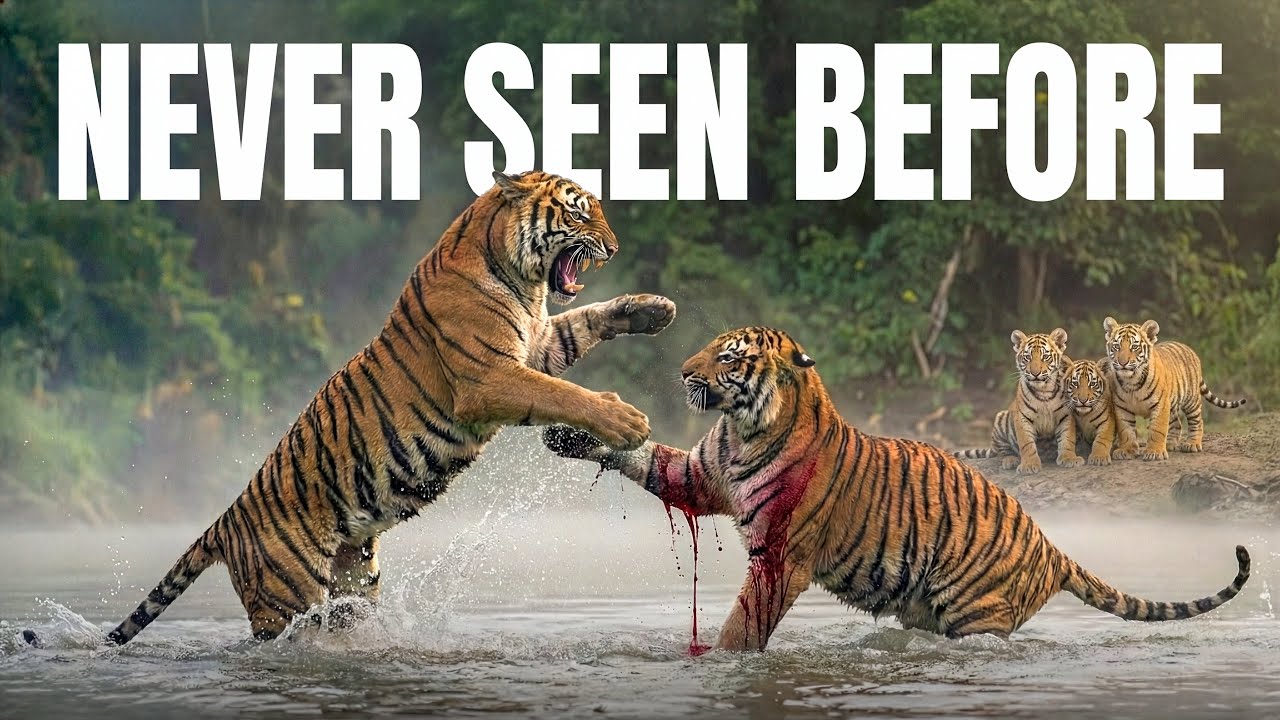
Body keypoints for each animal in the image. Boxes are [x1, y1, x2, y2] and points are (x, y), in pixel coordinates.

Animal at [25, 170, 677, 647]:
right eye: (578, 211)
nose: (613, 247)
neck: (522, 278)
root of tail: (226, 521)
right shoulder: (490, 377)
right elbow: (563, 393)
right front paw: (626, 419)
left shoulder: (534, 346)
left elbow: (584, 322)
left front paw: (651, 309)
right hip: (286, 599)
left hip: (353, 580)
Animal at [952, 328, 1081, 474]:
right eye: (1027, 357)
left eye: (1045, 357)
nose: (1035, 373)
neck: (1044, 390)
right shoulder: (1022, 418)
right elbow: (1027, 444)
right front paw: (1029, 465)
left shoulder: (1066, 415)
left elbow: (1068, 438)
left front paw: (1069, 458)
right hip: (1001, 418)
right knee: (1003, 451)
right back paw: (1010, 460)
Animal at [1103, 317, 1246, 461]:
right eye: (1116, 346)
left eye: (1134, 347)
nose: (1122, 363)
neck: (1131, 381)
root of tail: (1188, 348)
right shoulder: (1121, 407)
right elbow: (1126, 430)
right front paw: (1126, 450)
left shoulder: (1160, 404)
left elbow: (1157, 429)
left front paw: (1155, 452)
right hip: (1172, 404)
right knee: (1177, 423)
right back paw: (1170, 444)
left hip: (1191, 401)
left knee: (1197, 421)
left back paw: (1192, 444)